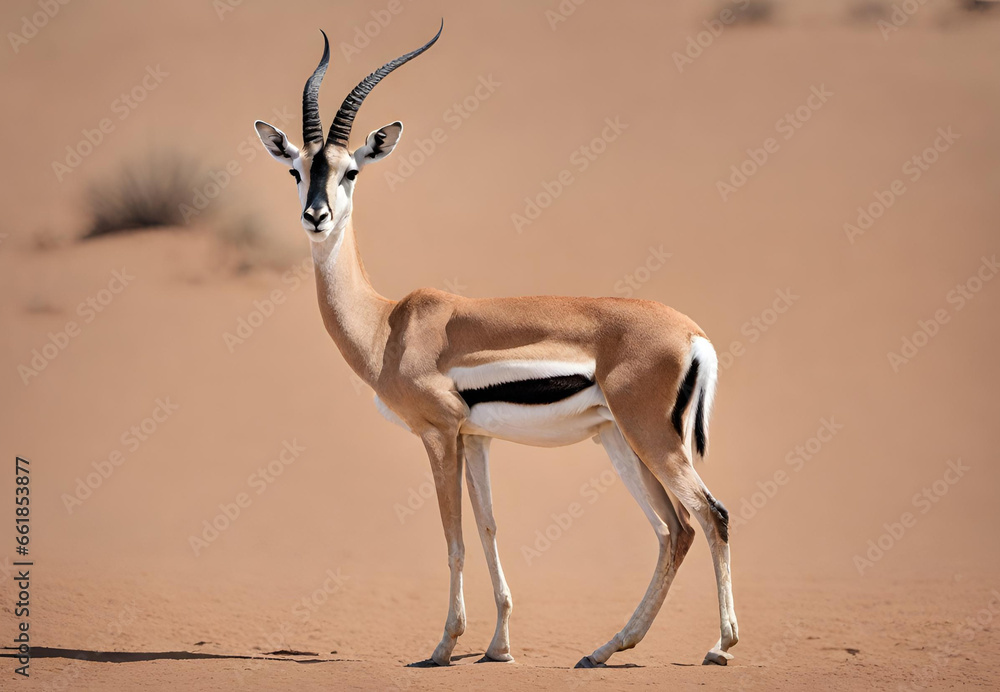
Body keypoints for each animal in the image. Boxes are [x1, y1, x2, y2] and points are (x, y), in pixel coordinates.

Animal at [253, 21, 738, 669]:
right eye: (296, 170)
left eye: (350, 170)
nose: (316, 215)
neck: (388, 324)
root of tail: (693, 334)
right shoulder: (476, 438)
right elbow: (488, 529)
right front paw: (498, 647)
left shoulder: (439, 435)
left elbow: (454, 536)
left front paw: (442, 646)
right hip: (621, 440)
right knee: (673, 528)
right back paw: (606, 648)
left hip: (650, 439)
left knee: (709, 515)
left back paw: (719, 646)